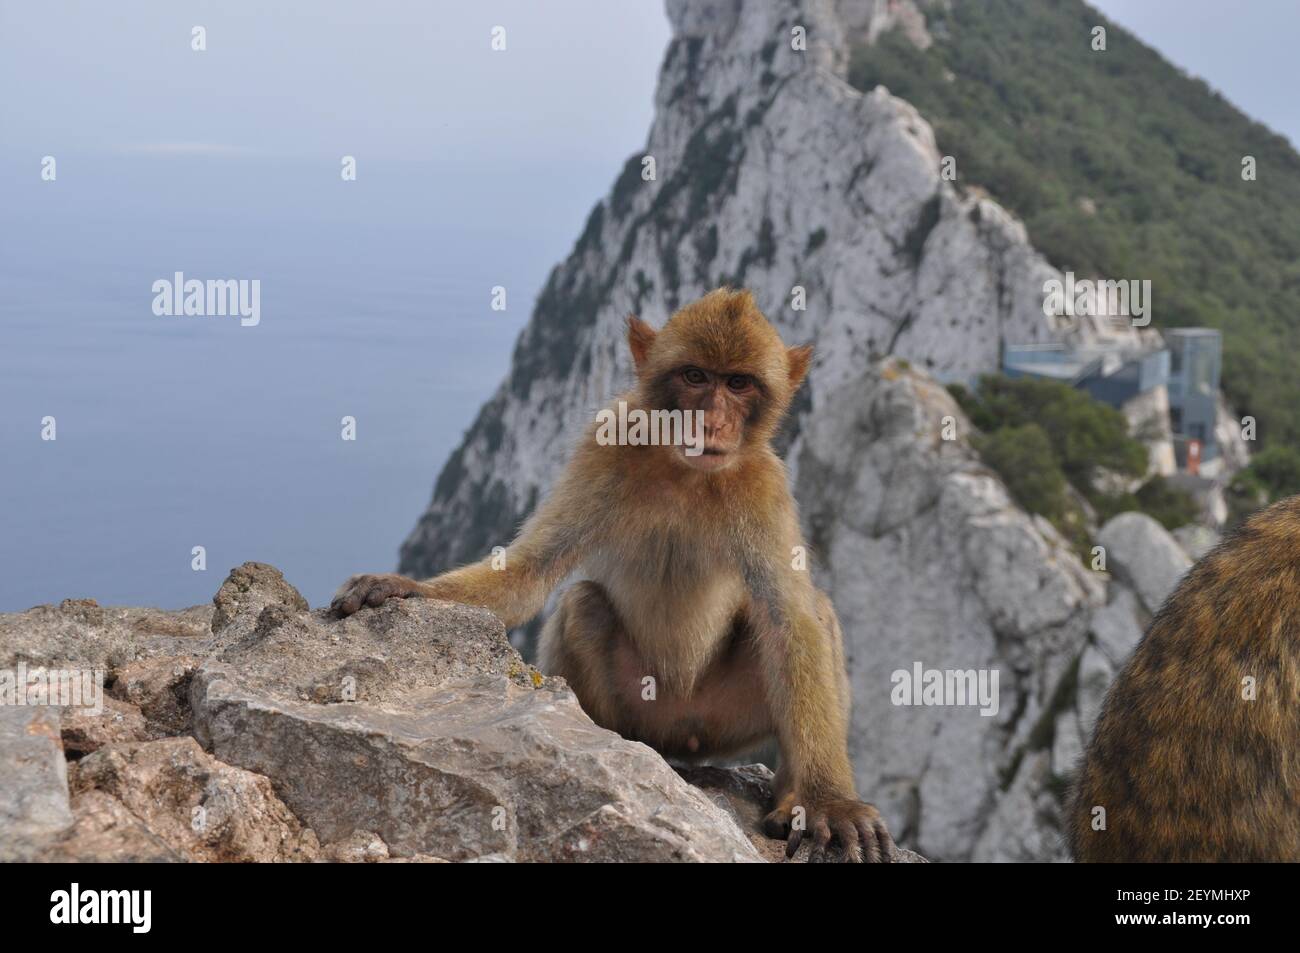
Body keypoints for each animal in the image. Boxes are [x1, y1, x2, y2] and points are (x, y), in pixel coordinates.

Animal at [332, 287, 894, 862]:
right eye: (696, 377)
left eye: (738, 383)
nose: (713, 423)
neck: (685, 470)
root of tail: (683, 741)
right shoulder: (606, 443)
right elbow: (531, 570)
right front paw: (404, 587)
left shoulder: (764, 483)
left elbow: (790, 620)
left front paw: (831, 802)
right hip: (645, 712)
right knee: (582, 603)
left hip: (726, 716)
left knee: (813, 614)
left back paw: (790, 796)